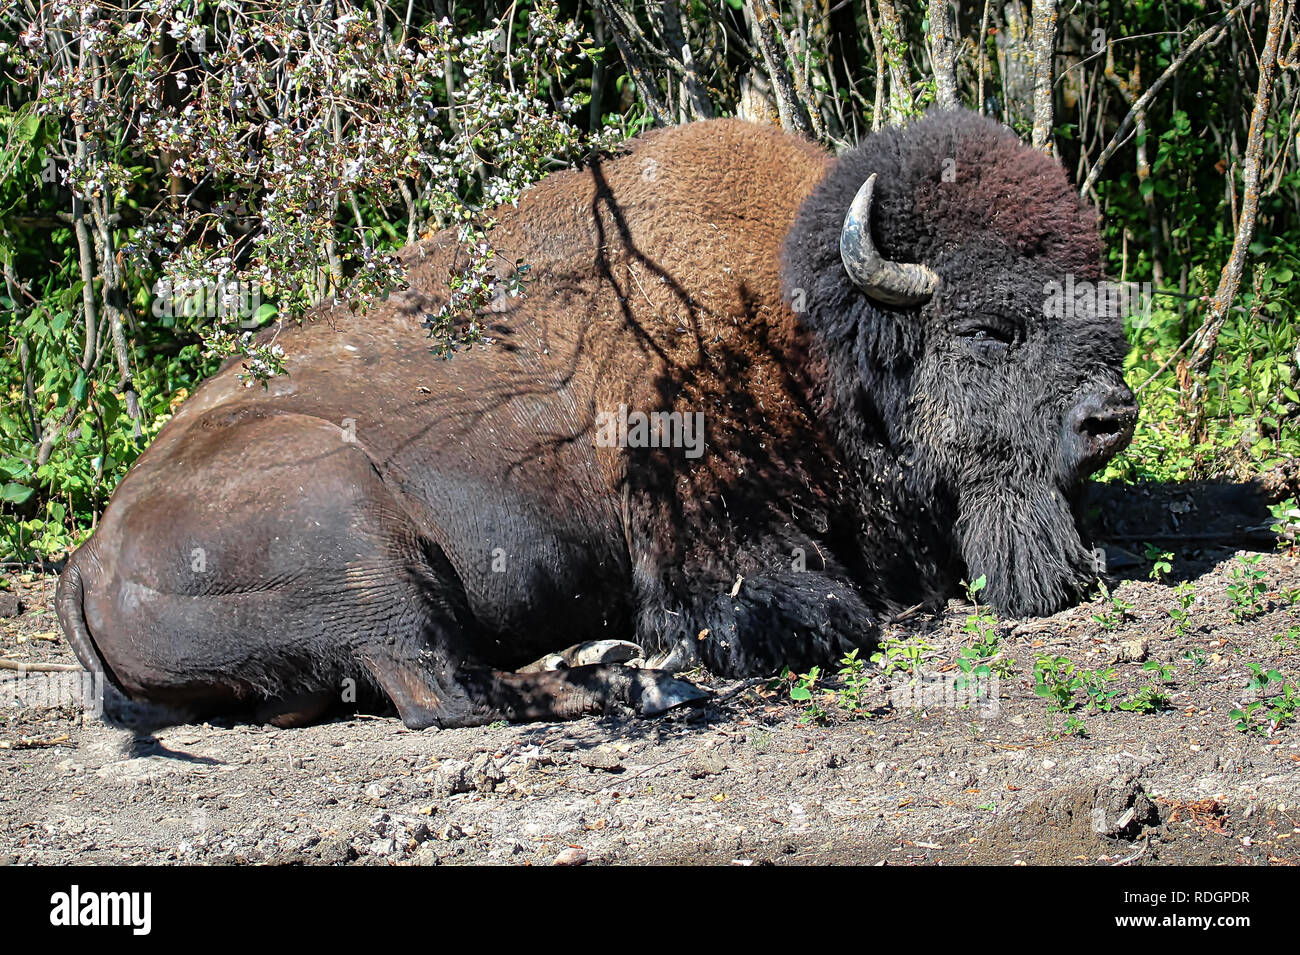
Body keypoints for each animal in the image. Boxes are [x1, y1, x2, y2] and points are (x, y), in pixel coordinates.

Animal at [57, 110, 1137, 728]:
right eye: (988, 327)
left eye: (1094, 297)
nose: (1111, 416)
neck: (806, 328)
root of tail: (92, 554)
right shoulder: (708, 549)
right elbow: (806, 612)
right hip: (357, 535)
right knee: (441, 690)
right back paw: (632, 681)